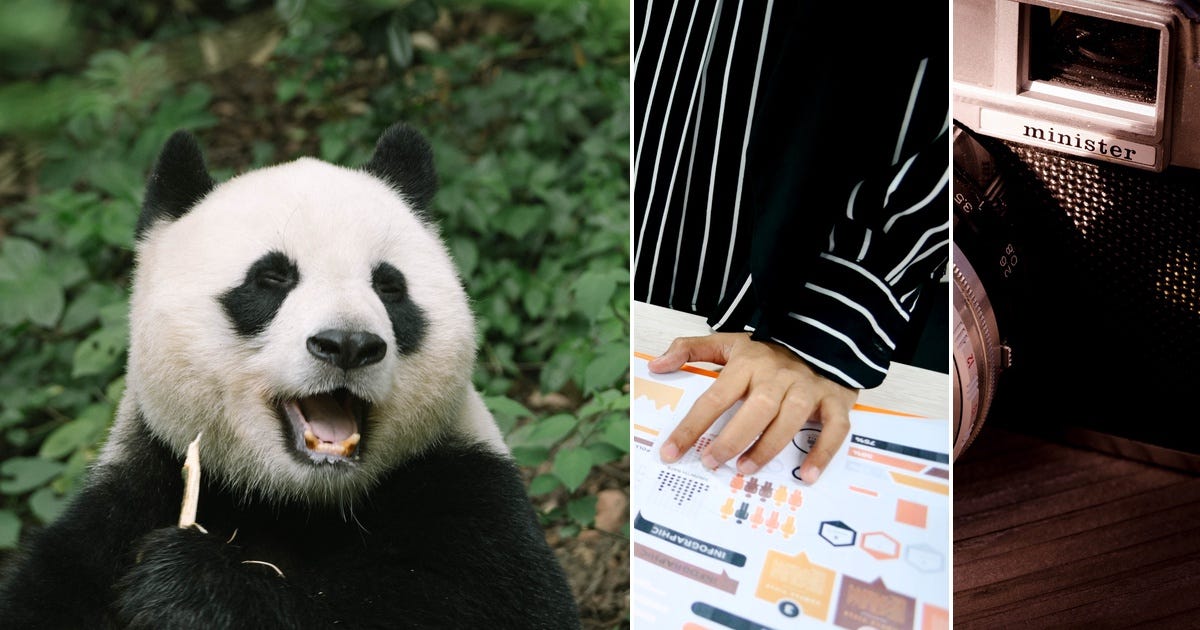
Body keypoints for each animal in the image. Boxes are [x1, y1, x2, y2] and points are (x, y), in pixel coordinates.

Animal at [0, 123, 583, 629]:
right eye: (272, 278)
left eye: (389, 287)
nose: (348, 344)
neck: (300, 500)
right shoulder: (129, 497)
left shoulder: (466, 488)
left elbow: (472, 603)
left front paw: (189, 586)